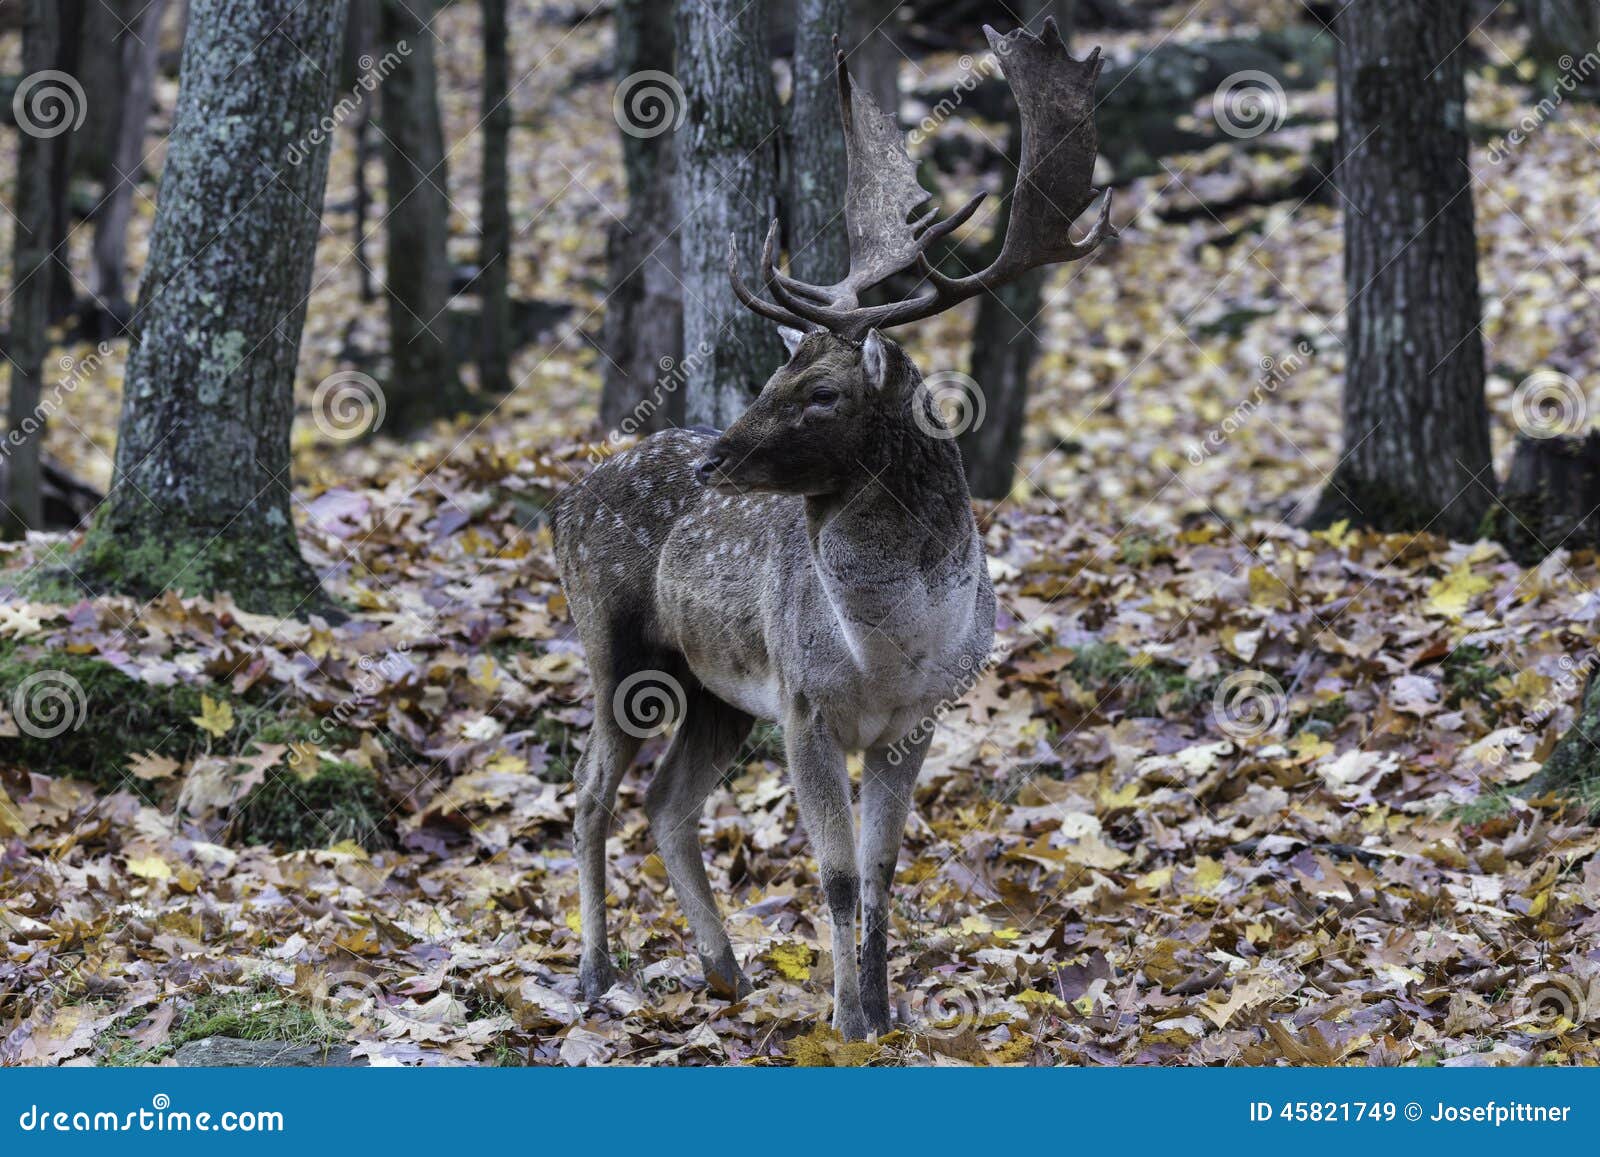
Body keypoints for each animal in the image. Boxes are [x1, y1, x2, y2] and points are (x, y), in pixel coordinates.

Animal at [552, 18, 1113, 1040]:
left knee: (663, 801)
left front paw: (887, 1012)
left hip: (718, 694)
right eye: (778, 374)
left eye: (821, 392)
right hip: (617, 647)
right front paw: (848, 1021)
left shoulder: (918, 718)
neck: (885, 652)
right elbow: (838, 871)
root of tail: (562, 502)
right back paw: (595, 973)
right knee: (588, 792)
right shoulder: (807, 703)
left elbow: (885, 867)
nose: (714, 461)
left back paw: (726, 970)